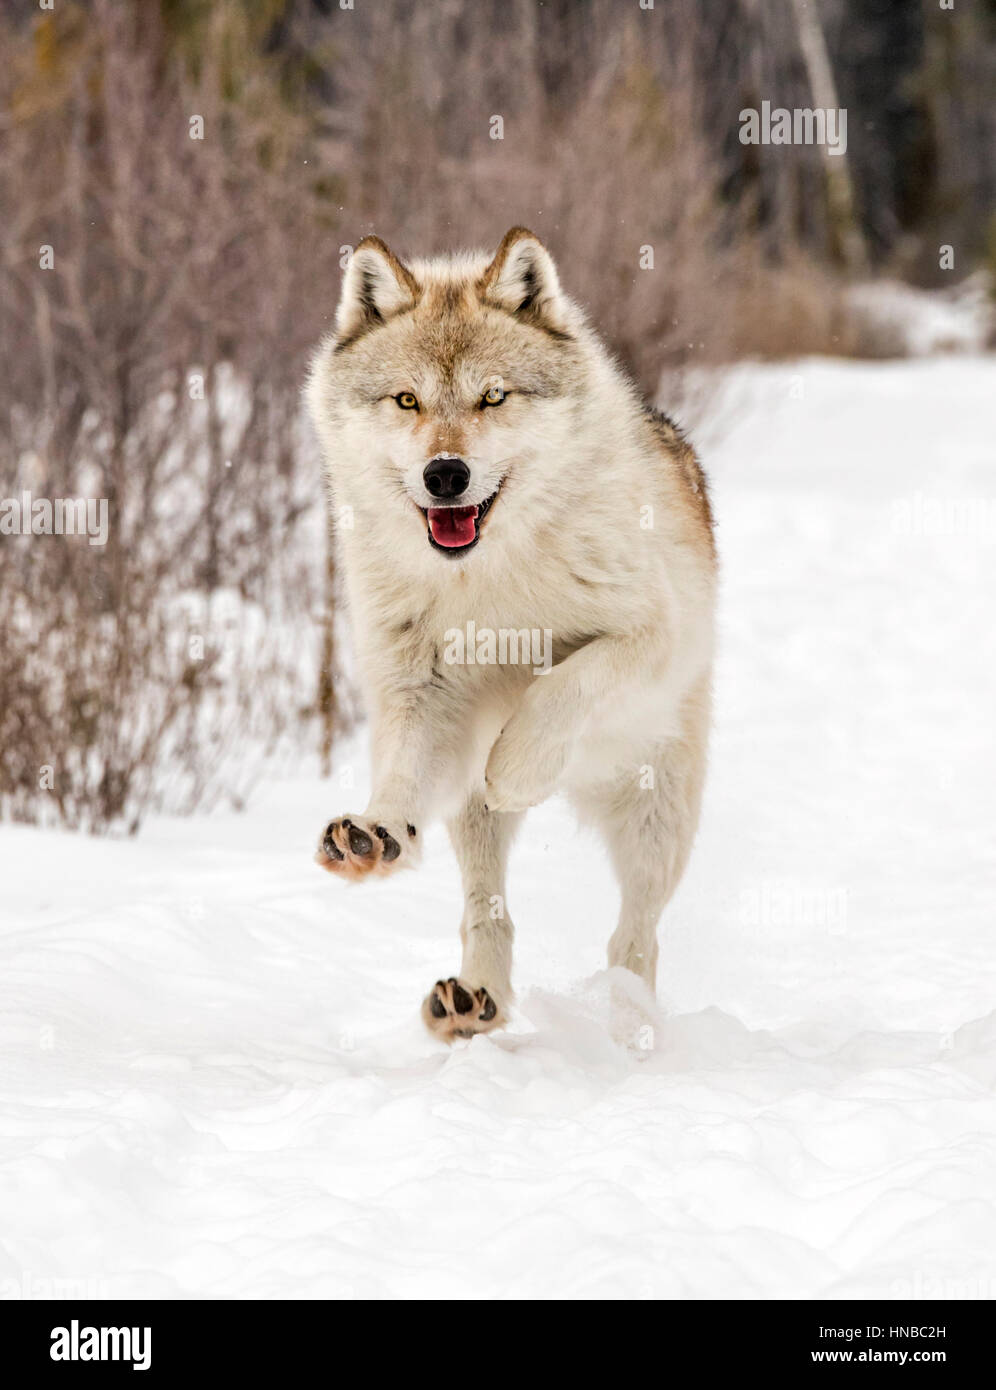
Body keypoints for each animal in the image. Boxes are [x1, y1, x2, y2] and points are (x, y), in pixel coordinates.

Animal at [306, 227, 716, 1042]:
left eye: (492, 396)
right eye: (407, 399)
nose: (446, 474)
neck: (484, 578)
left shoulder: (648, 635)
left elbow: (563, 684)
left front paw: (521, 767)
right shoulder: (420, 691)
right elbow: (401, 779)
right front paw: (374, 834)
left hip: (661, 812)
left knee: (635, 936)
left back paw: (631, 1033)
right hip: (476, 823)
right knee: (487, 910)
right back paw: (474, 1004)